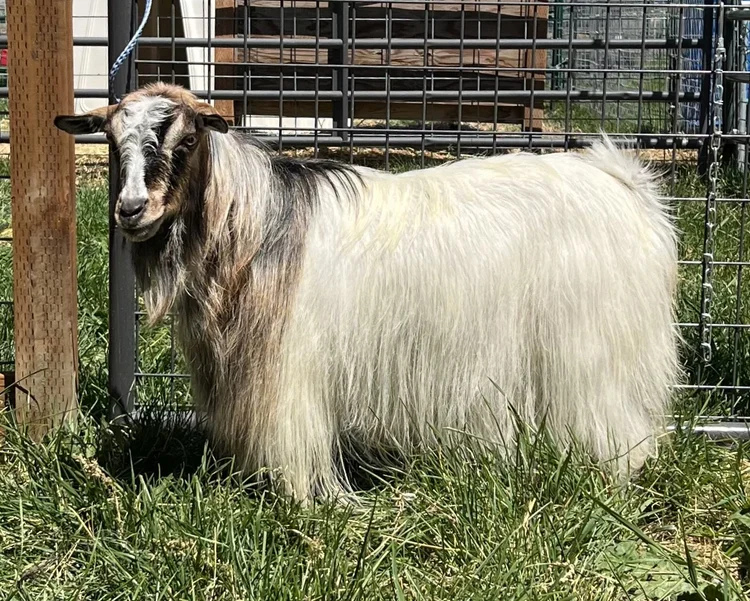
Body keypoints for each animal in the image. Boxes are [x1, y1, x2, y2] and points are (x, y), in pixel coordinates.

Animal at [55, 83, 680, 501]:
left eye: (183, 141)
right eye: (111, 142)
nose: (131, 209)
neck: (254, 224)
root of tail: (622, 184)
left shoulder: (289, 370)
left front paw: (302, 501)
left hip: (593, 350)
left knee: (621, 424)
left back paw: (612, 478)